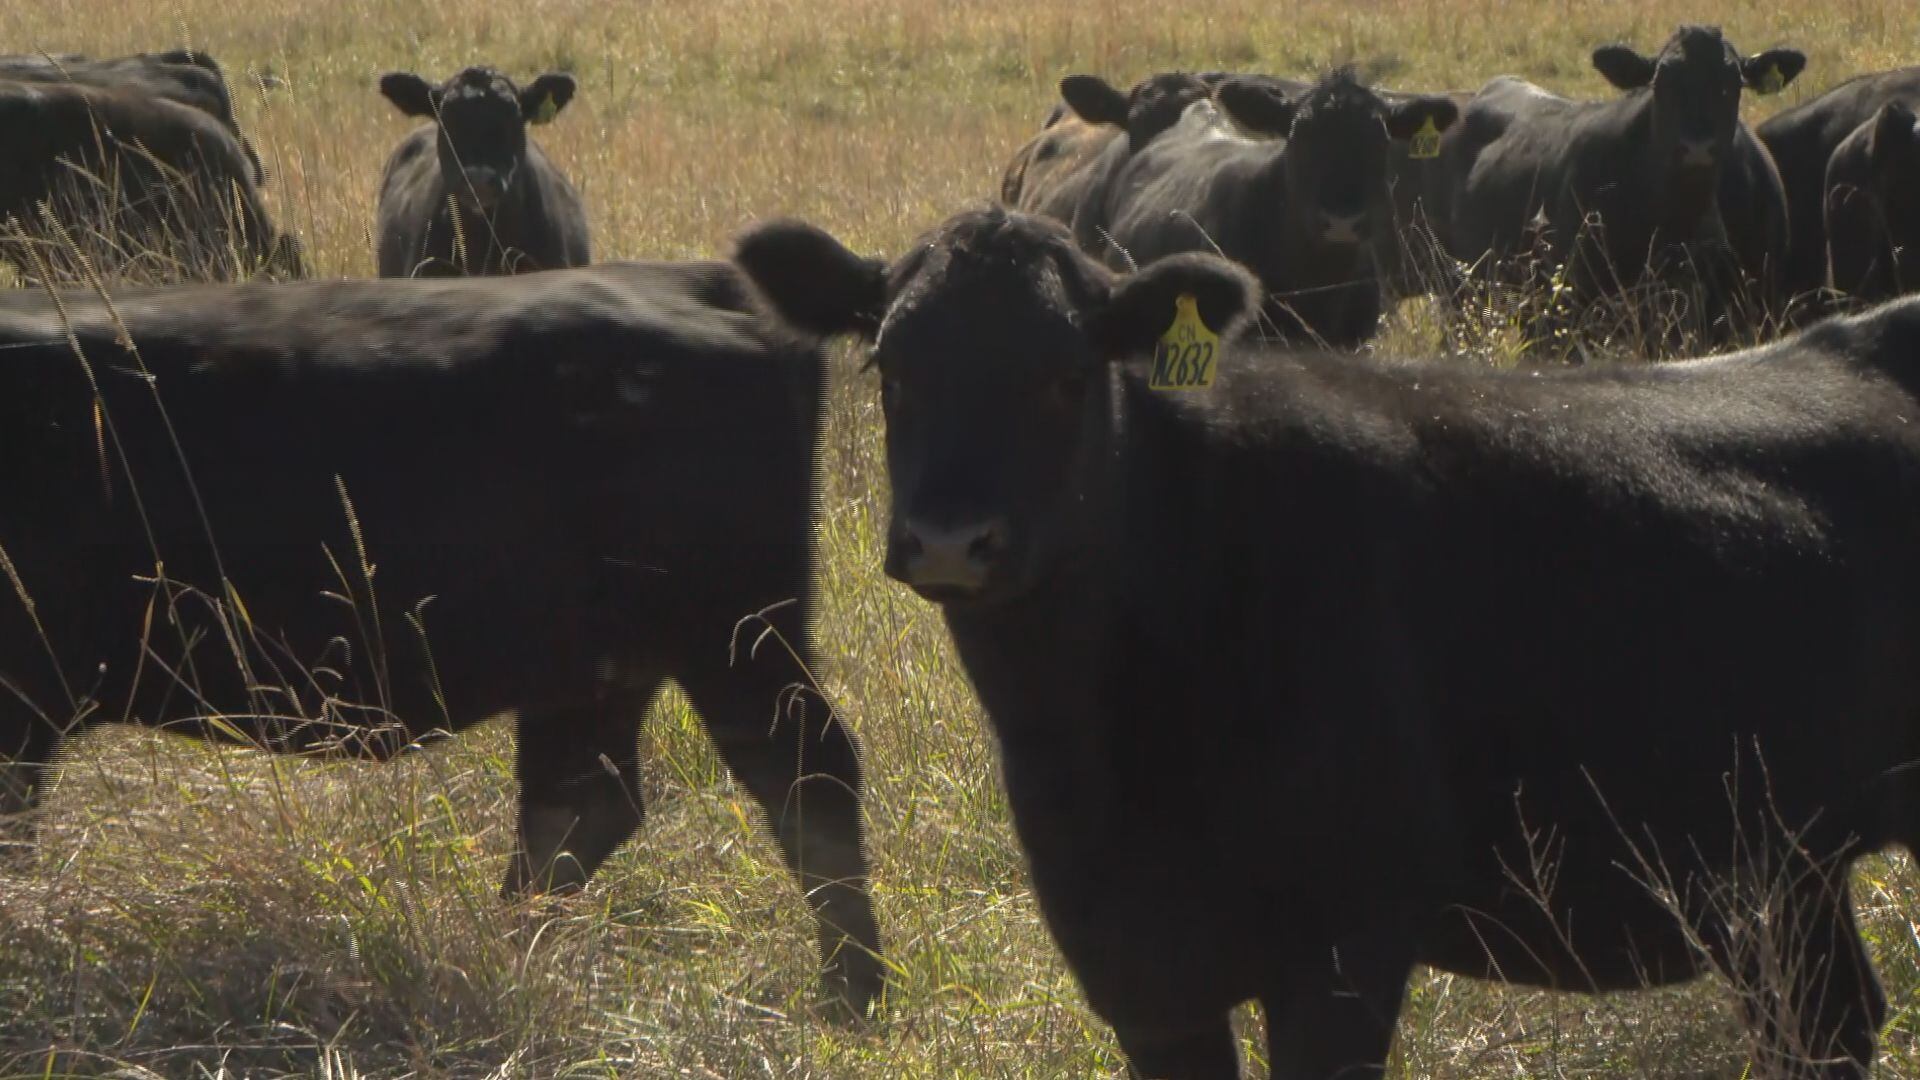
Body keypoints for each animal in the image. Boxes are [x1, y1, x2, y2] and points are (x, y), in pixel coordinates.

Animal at [0, 262, 882, 1016]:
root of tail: (699, 281)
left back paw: (850, 994)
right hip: (598, 667)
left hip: (734, 640)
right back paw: (508, 949)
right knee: (579, 803)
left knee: (806, 773)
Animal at [734, 204, 1920, 1078]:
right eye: (890, 368)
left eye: (1068, 372)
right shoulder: (1136, 966)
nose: (950, 539)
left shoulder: (1345, 941)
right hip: (1778, 870)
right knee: (1829, 1023)